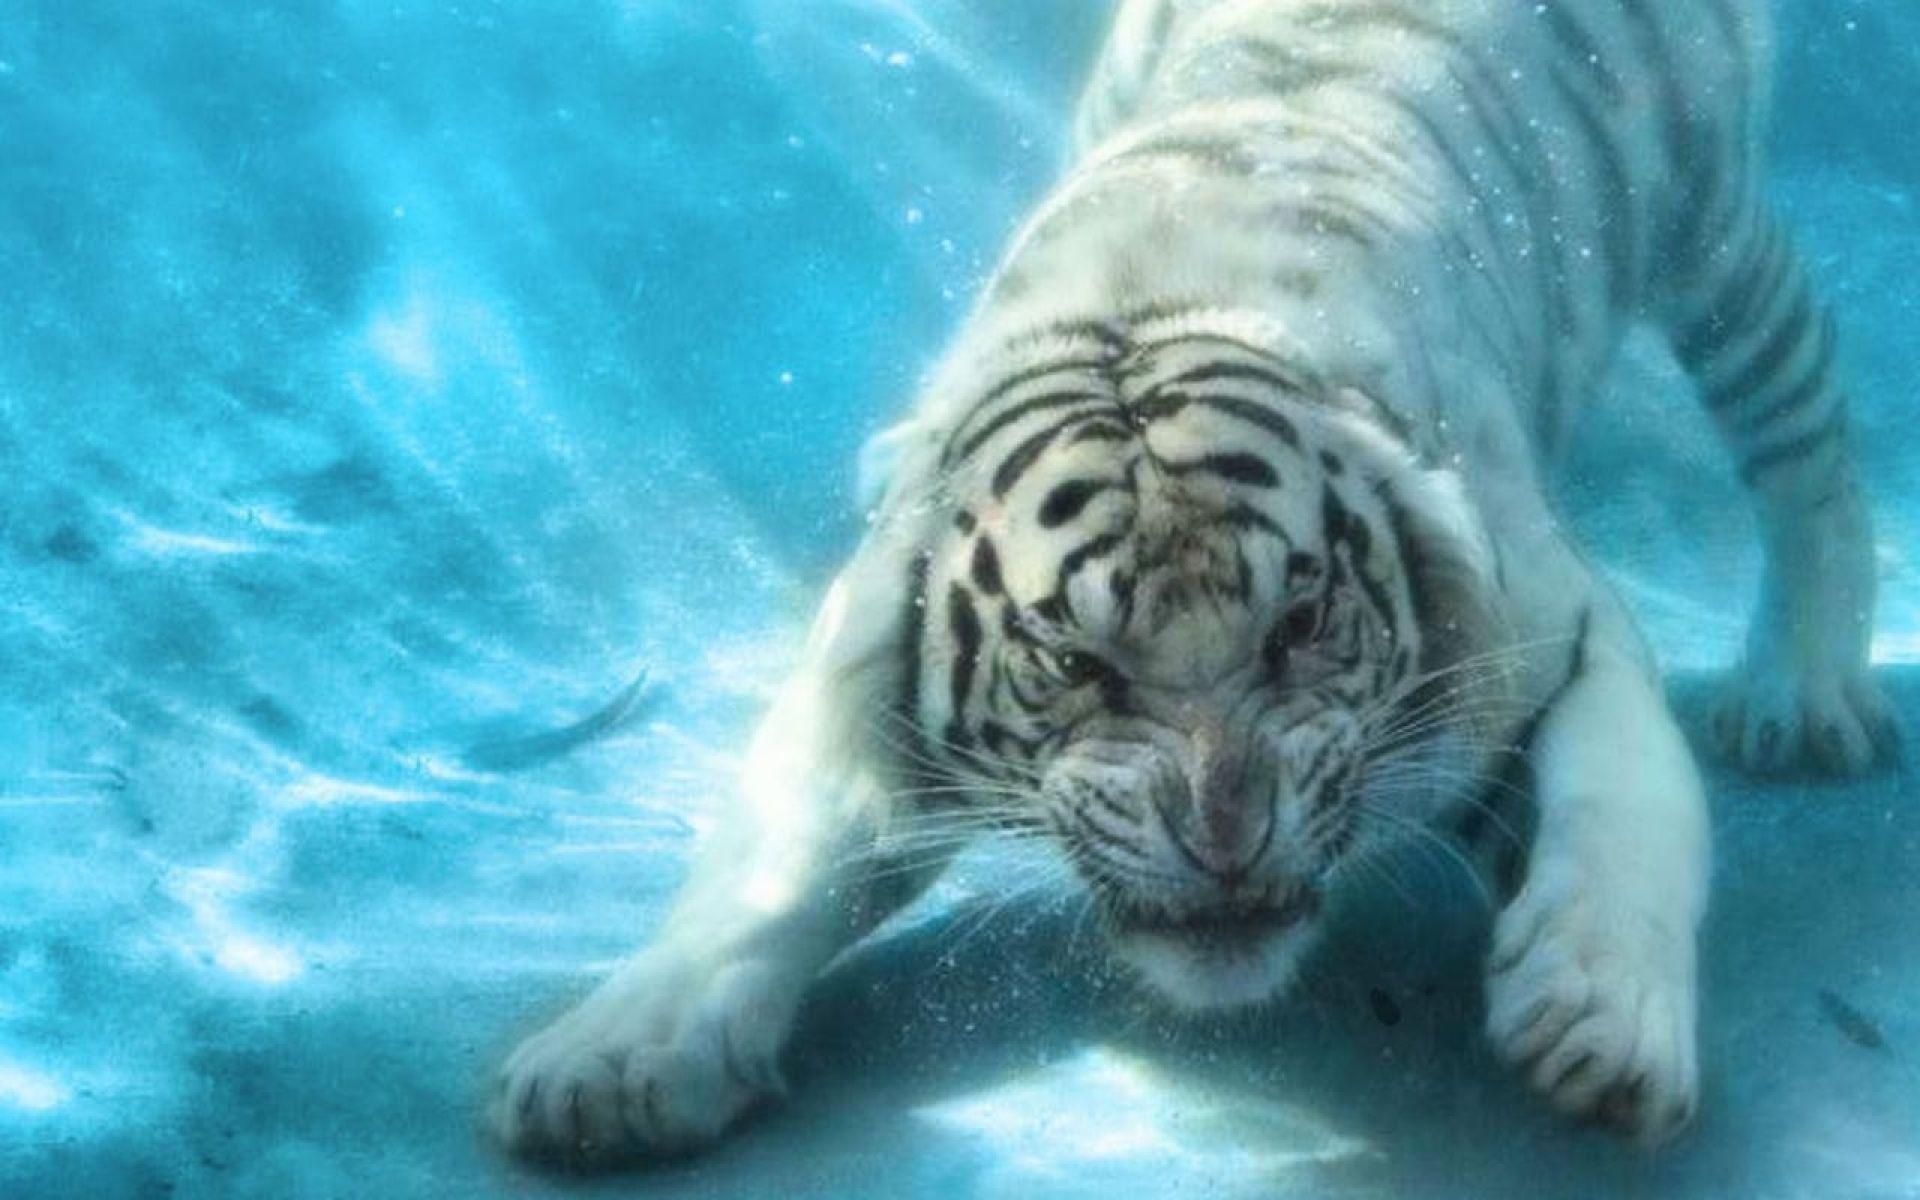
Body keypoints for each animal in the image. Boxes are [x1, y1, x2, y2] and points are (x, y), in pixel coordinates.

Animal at [492, 0, 1894, 1161]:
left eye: (1303, 623)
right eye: (1074, 664)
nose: (1226, 840)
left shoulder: (1562, 631)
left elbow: (1625, 812)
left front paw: (1603, 1019)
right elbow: (765, 867)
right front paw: (615, 1061)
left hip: (1712, 226)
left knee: (1802, 423)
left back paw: (1806, 693)